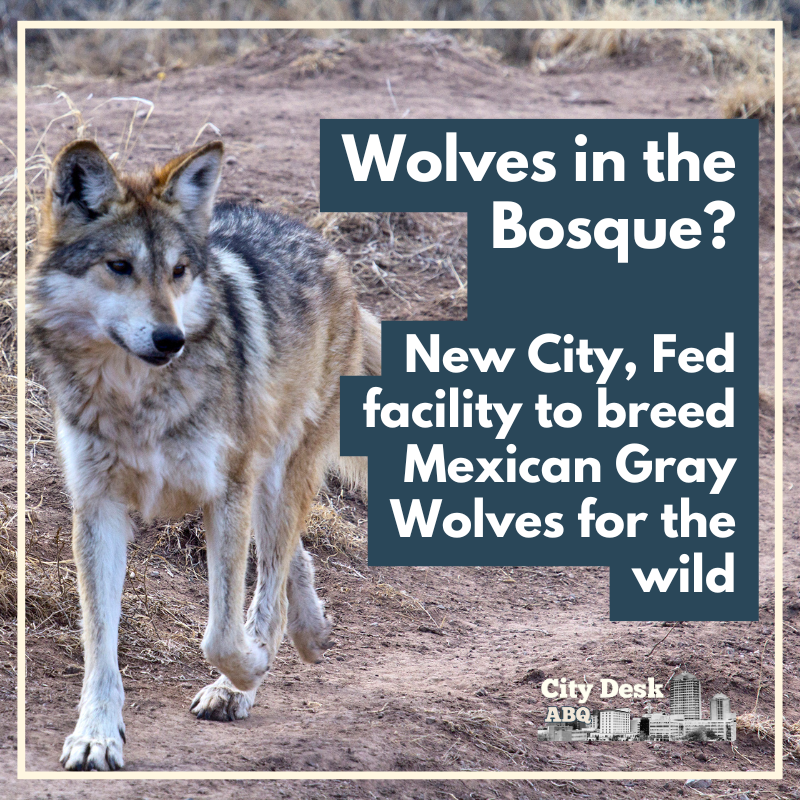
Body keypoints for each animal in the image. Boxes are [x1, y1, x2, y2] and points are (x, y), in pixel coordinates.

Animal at [27, 139, 380, 771]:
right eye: (120, 267)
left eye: (178, 272)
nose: (171, 340)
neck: (137, 399)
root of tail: (323, 245)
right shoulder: (98, 507)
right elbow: (99, 643)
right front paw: (96, 734)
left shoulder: (226, 493)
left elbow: (220, 635)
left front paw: (248, 671)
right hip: (265, 482)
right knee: (288, 561)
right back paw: (311, 630)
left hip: (277, 473)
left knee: (272, 578)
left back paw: (249, 677)